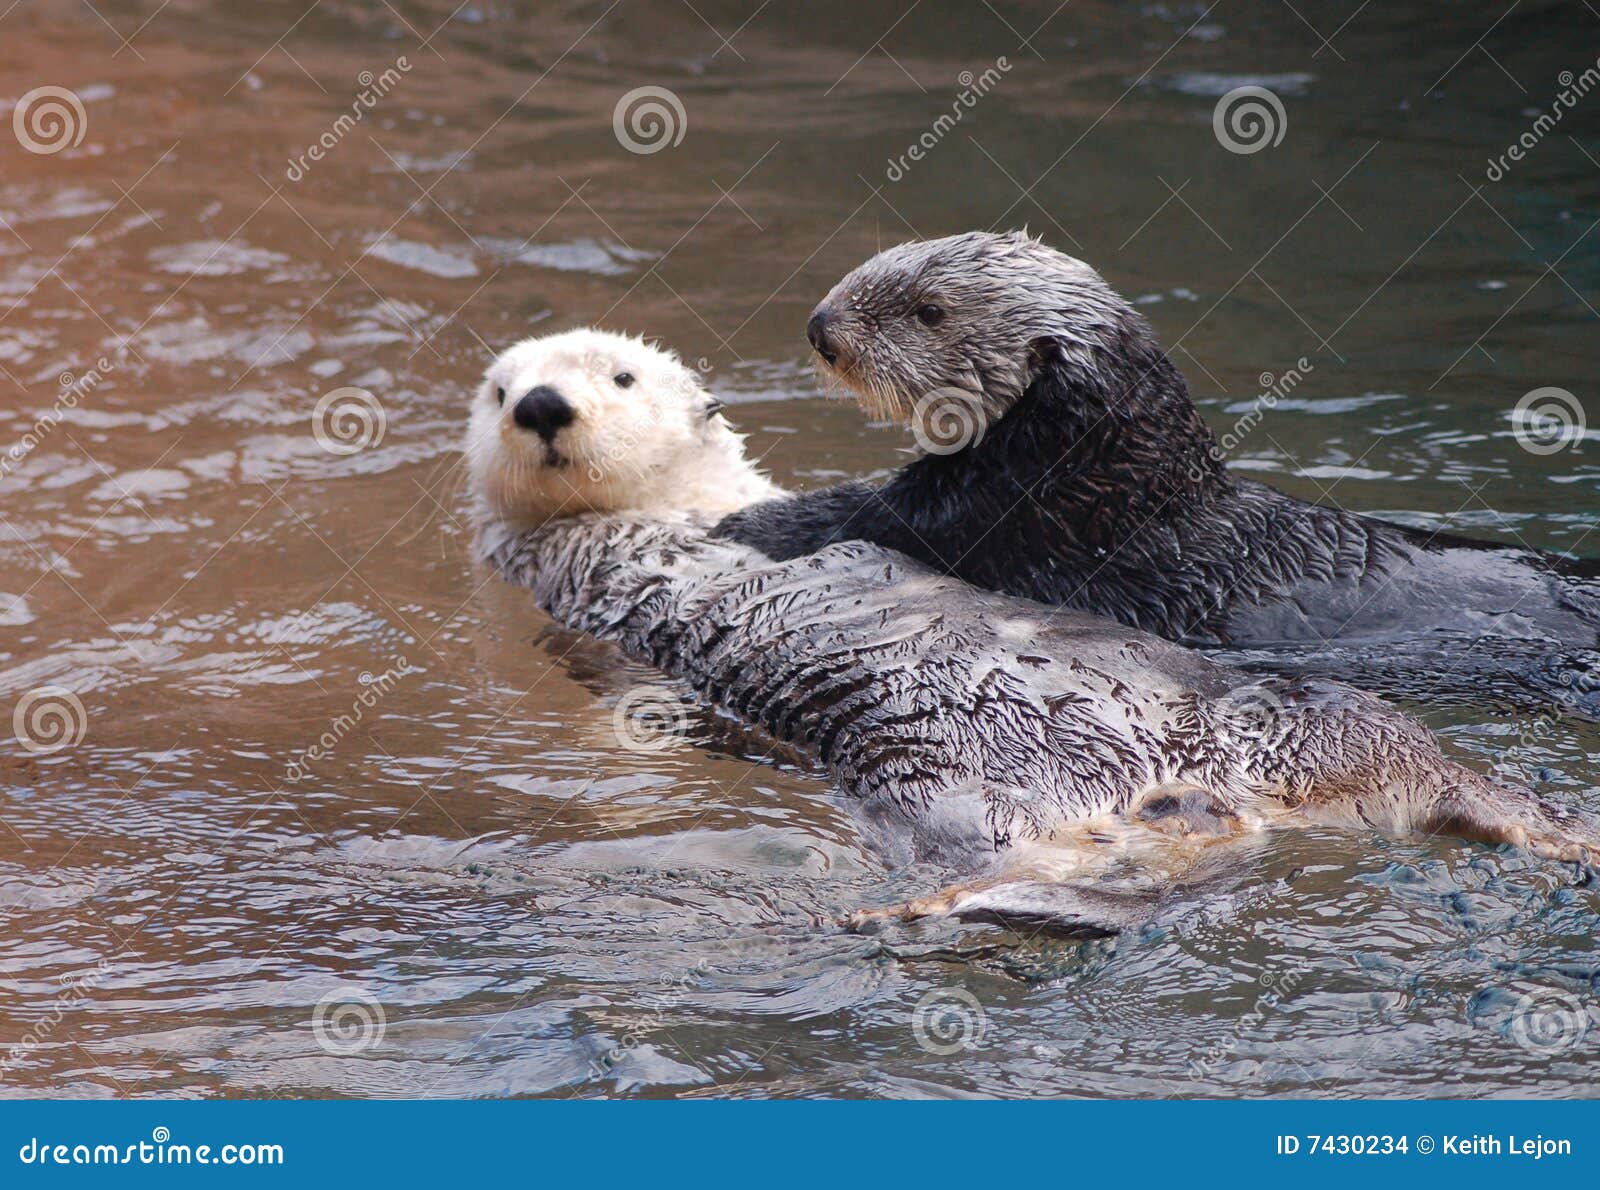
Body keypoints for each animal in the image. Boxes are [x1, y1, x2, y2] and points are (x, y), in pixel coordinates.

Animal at [470, 329, 1598, 935]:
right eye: (497, 389)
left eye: (619, 378)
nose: (541, 404)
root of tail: (1225, 802)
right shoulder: (579, 573)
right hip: (959, 797)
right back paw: (909, 911)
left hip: (1319, 723)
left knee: (1439, 779)